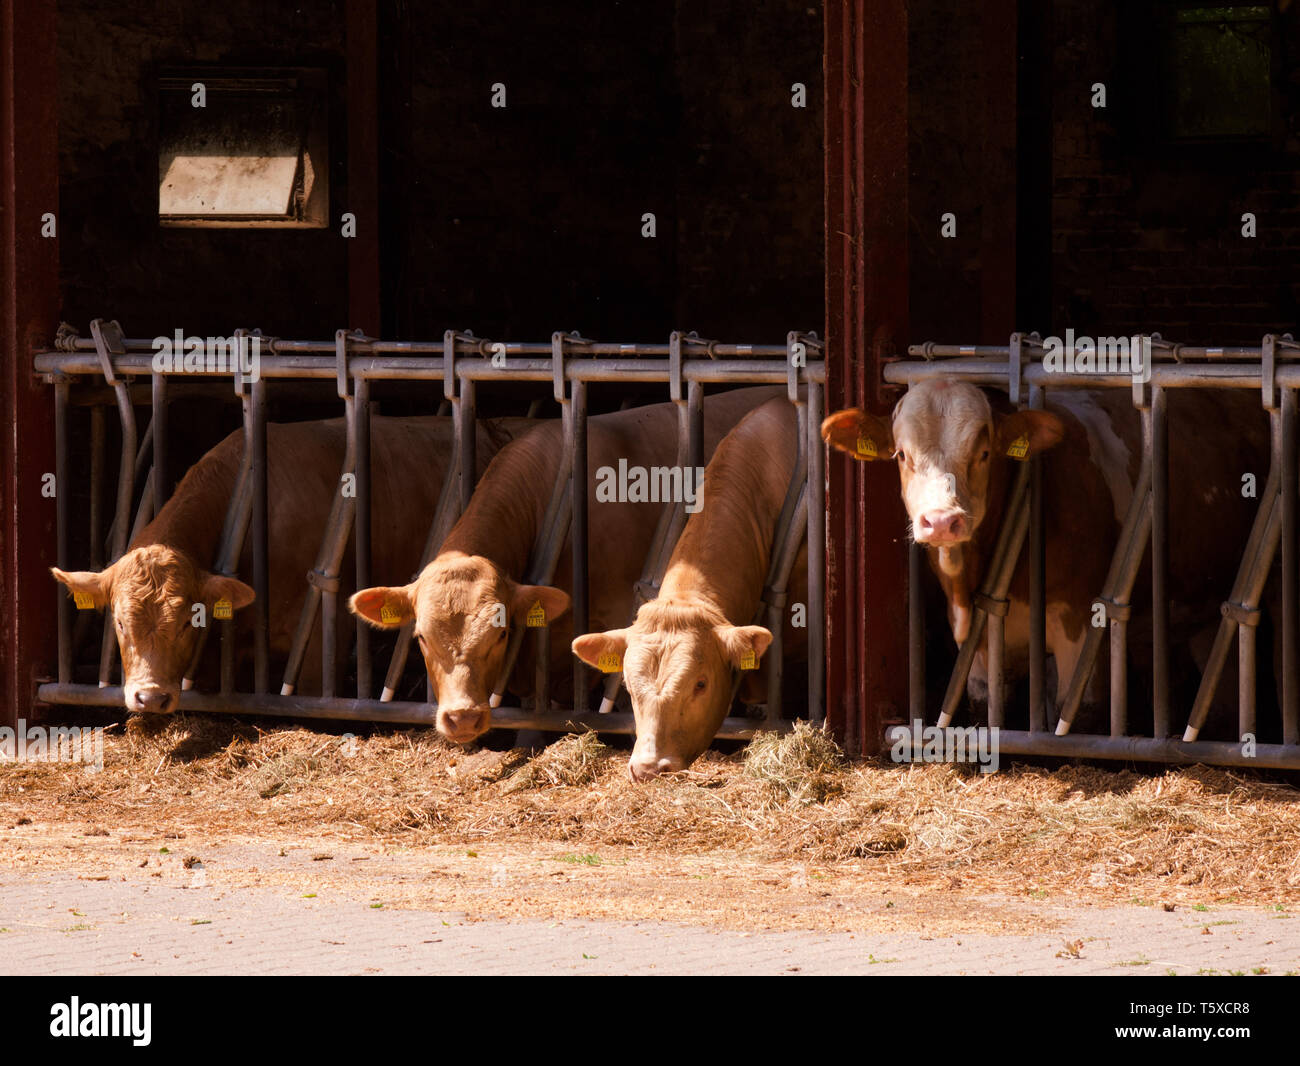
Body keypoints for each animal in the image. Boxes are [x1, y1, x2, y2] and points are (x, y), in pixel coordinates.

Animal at [822, 379, 1268, 728]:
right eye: (901, 455)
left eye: (984, 453)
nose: (943, 521)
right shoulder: (980, 643)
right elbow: (986, 705)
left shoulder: (1079, 623)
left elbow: (1076, 712)